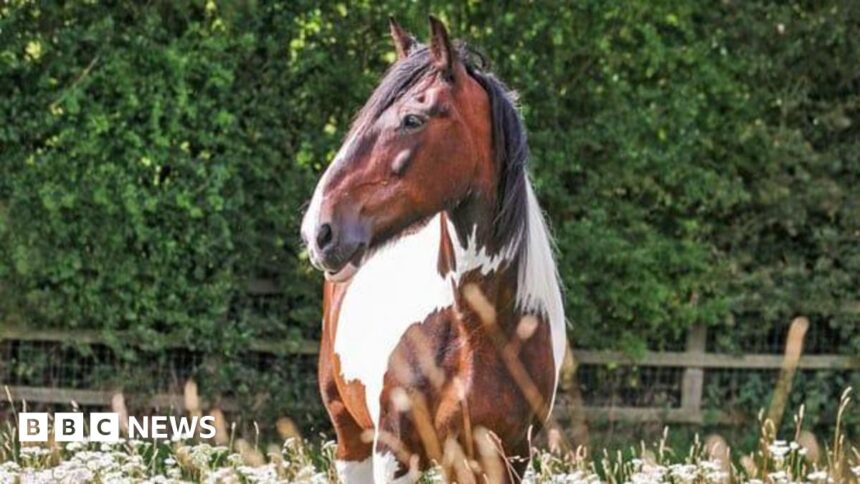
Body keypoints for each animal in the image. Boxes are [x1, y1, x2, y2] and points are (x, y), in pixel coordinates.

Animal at [300, 16, 565, 483]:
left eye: (412, 119)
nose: (320, 230)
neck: (476, 331)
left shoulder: (509, 455)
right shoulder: (395, 452)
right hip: (351, 437)